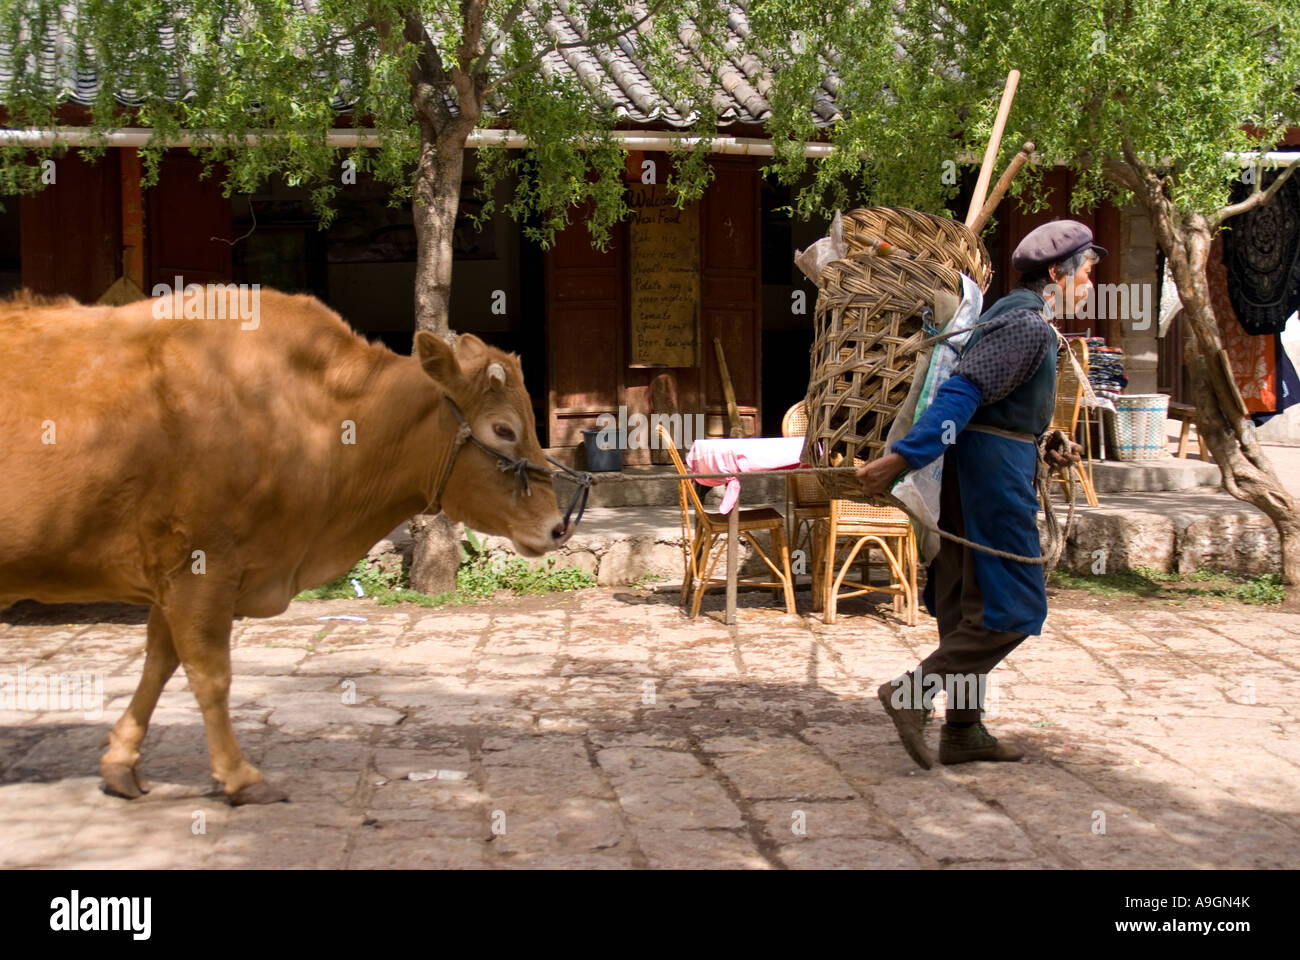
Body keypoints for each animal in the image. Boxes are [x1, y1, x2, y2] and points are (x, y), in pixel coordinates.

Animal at [0, 288, 574, 804]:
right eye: (503, 428)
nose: (556, 527)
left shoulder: (173, 575)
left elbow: (159, 664)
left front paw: (121, 761)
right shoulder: (202, 568)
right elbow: (210, 674)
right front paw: (239, 776)